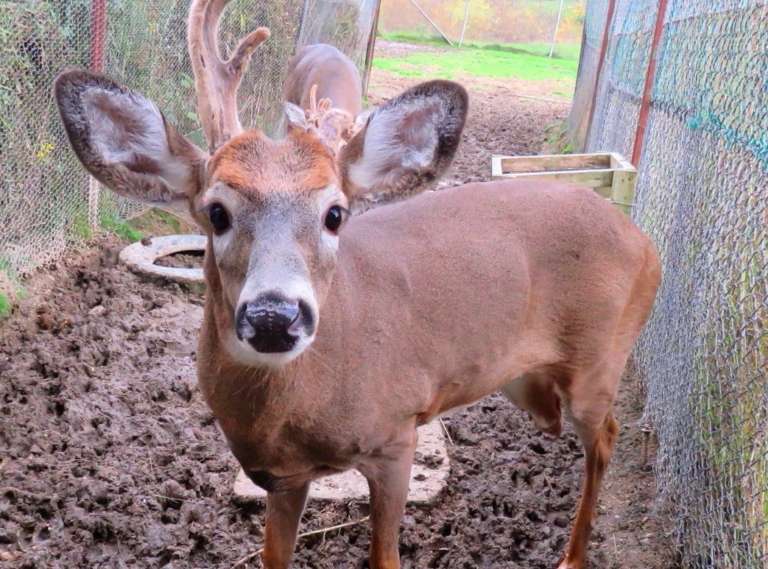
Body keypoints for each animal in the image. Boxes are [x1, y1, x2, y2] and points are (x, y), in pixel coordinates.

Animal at [53, 1, 661, 568]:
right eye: (216, 212)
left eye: (335, 214)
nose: (274, 317)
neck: (294, 410)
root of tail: (644, 242)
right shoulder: (283, 475)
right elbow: (275, 556)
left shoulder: (396, 434)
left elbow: (385, 555)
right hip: (520, 376)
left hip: (599, 359)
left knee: (607, 435)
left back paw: (572, 555)